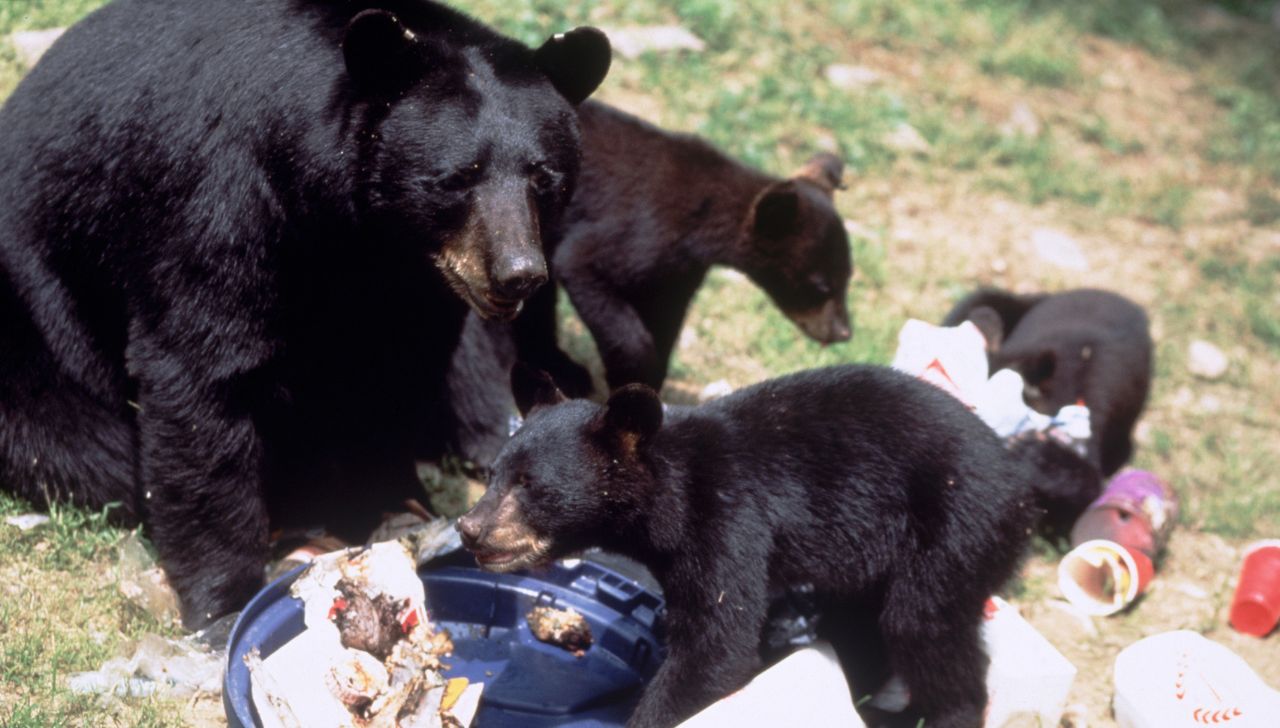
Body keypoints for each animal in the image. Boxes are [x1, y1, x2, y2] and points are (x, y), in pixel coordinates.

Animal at [0, 0, 610, 628]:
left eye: (544, 176)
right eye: (458, 177)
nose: (518, 273)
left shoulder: (414, 282)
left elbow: (391, 370)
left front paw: (392, 504)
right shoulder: (221, 202)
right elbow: (199, 375)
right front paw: (224, 599)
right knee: (81, 443)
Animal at [457, 363, 1038, 728]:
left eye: (531, 486)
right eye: (494, 473)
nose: (470, 528)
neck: (670, 494)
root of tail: (1022, 494)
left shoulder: (728, 521)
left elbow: (717, 647)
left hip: (953, 529)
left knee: (922, 624)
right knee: (864, 626)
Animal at [510, 100, 854, 396]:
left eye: (849, 277)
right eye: (821, 286)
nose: (843, 332)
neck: (701, 223)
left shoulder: (678, 272)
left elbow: (666, 318)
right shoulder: (636, 232)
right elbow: (583, 265)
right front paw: (632, 374)